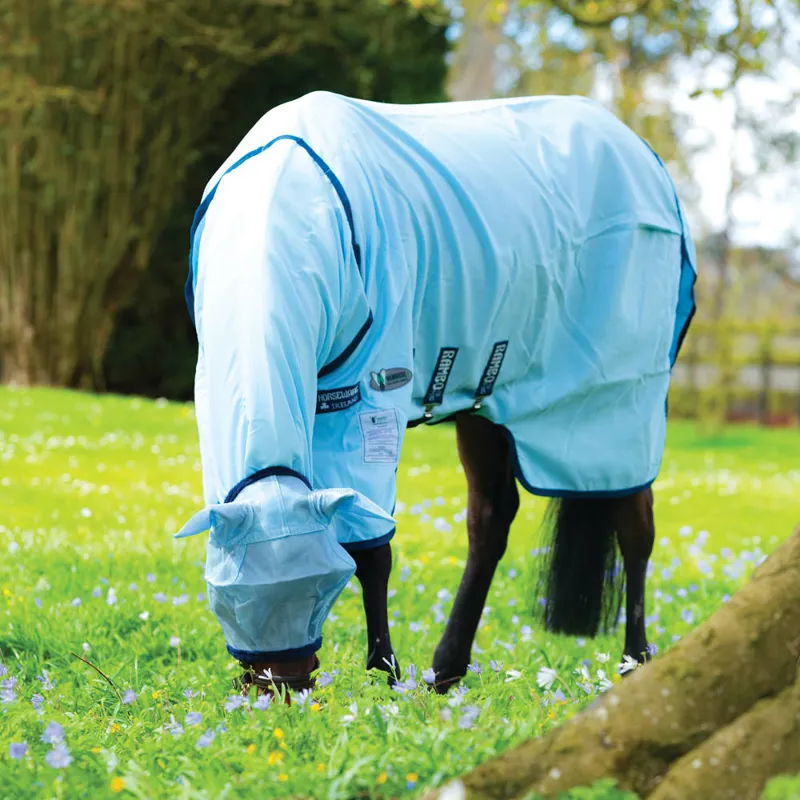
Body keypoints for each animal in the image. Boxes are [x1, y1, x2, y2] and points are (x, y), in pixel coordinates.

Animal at [176, 91, 696, 697]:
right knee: (491, 520)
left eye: (322, 592)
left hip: (619, 406)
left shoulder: (369, 394)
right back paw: (446, 671)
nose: (283, 693)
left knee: (635, 527)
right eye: (231, 598)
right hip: (487, 406)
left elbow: (372, 554)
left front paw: (384, 673)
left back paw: (634, 663)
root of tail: (642, 155)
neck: (296, 213)